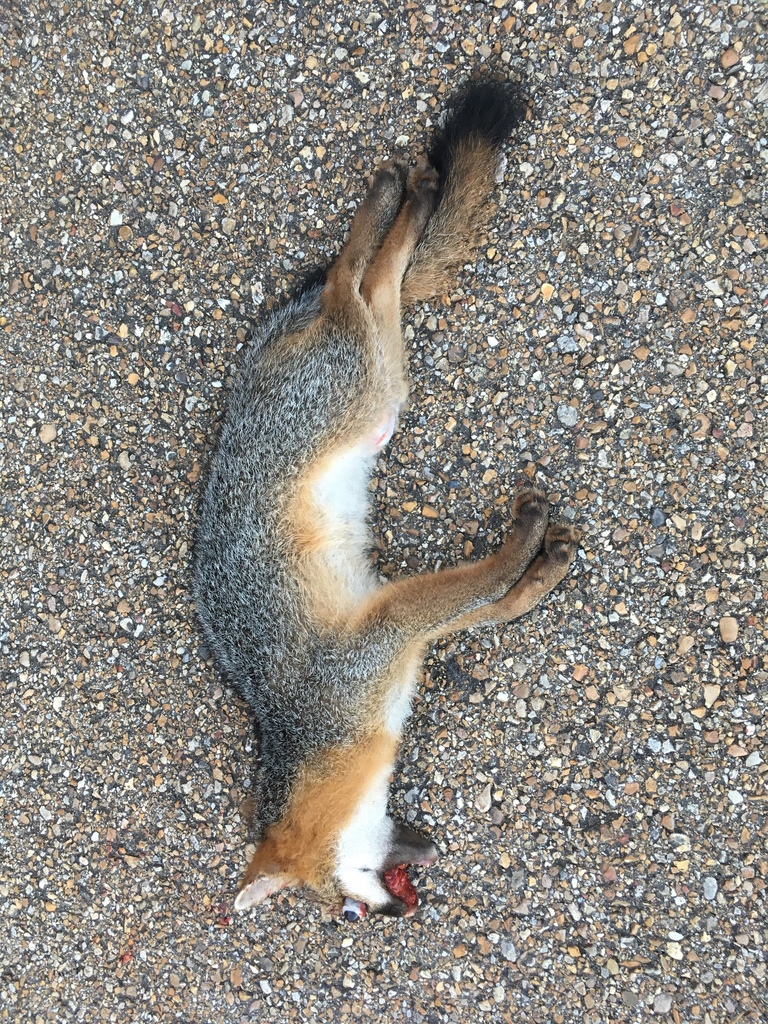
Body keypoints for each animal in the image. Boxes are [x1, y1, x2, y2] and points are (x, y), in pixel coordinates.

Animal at [192, 78, 580, 920]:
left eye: (345, 909)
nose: (399, 914)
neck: (315, 731)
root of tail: (258, 362)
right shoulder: (398, 639)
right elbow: (488, 603)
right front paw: (541, 569)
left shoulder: (385, 630)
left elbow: (478, 579)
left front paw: (523, 533)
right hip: (379, 383)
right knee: (379, 289)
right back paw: (415, 202)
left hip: (359, 376)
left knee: (349, 282)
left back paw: (389, 198)